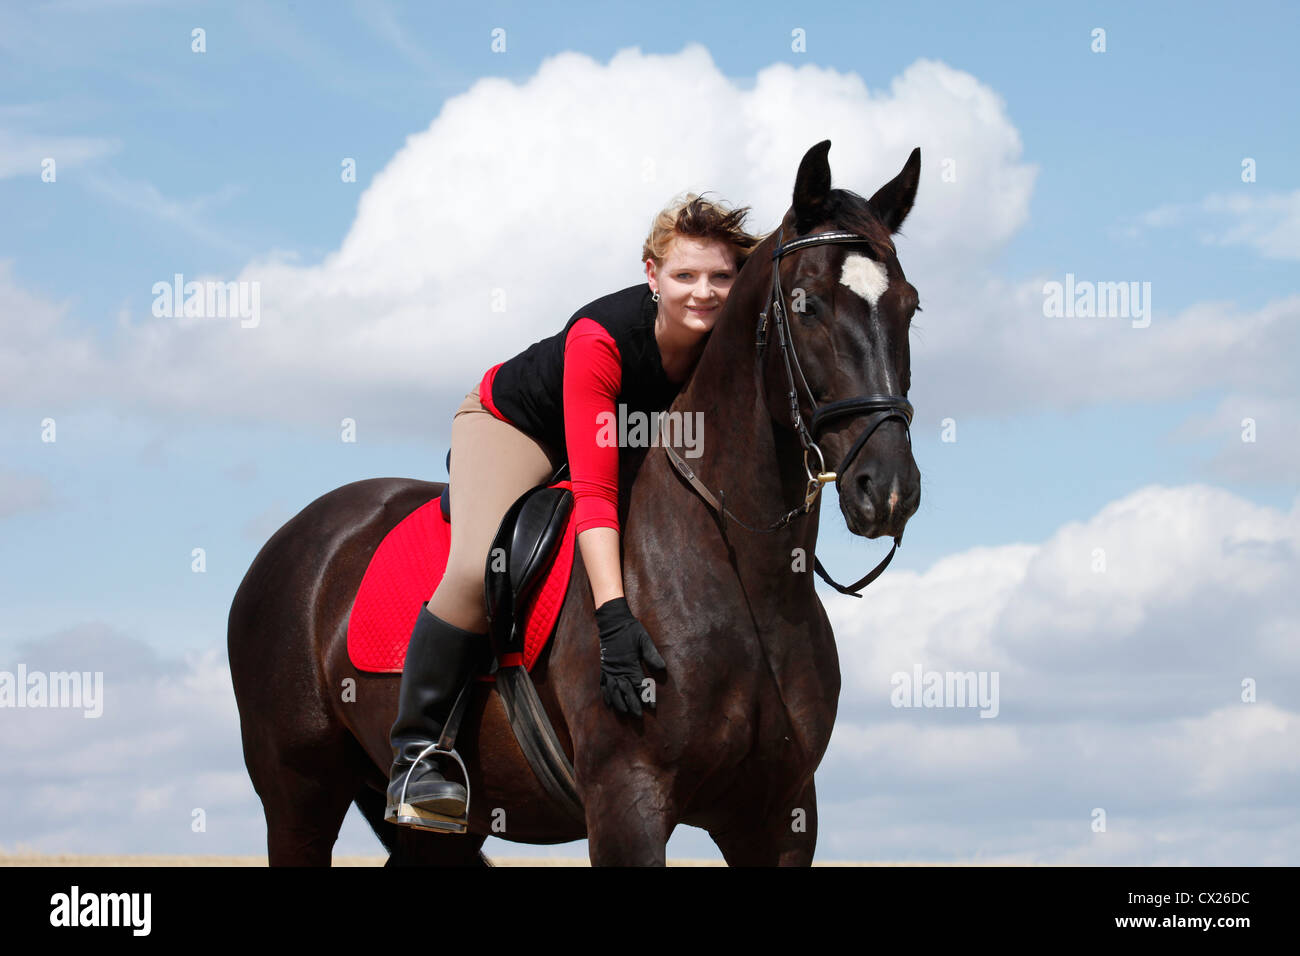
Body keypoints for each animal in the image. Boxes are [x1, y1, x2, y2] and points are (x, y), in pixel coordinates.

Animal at [227, 139, 922, 866]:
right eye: (807, 305)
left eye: (911, 307)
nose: (888, 489)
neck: (745, 577)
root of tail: (296, 538)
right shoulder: (627, 803)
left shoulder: (779, 816)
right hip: (298, 794)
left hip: (430, 832)